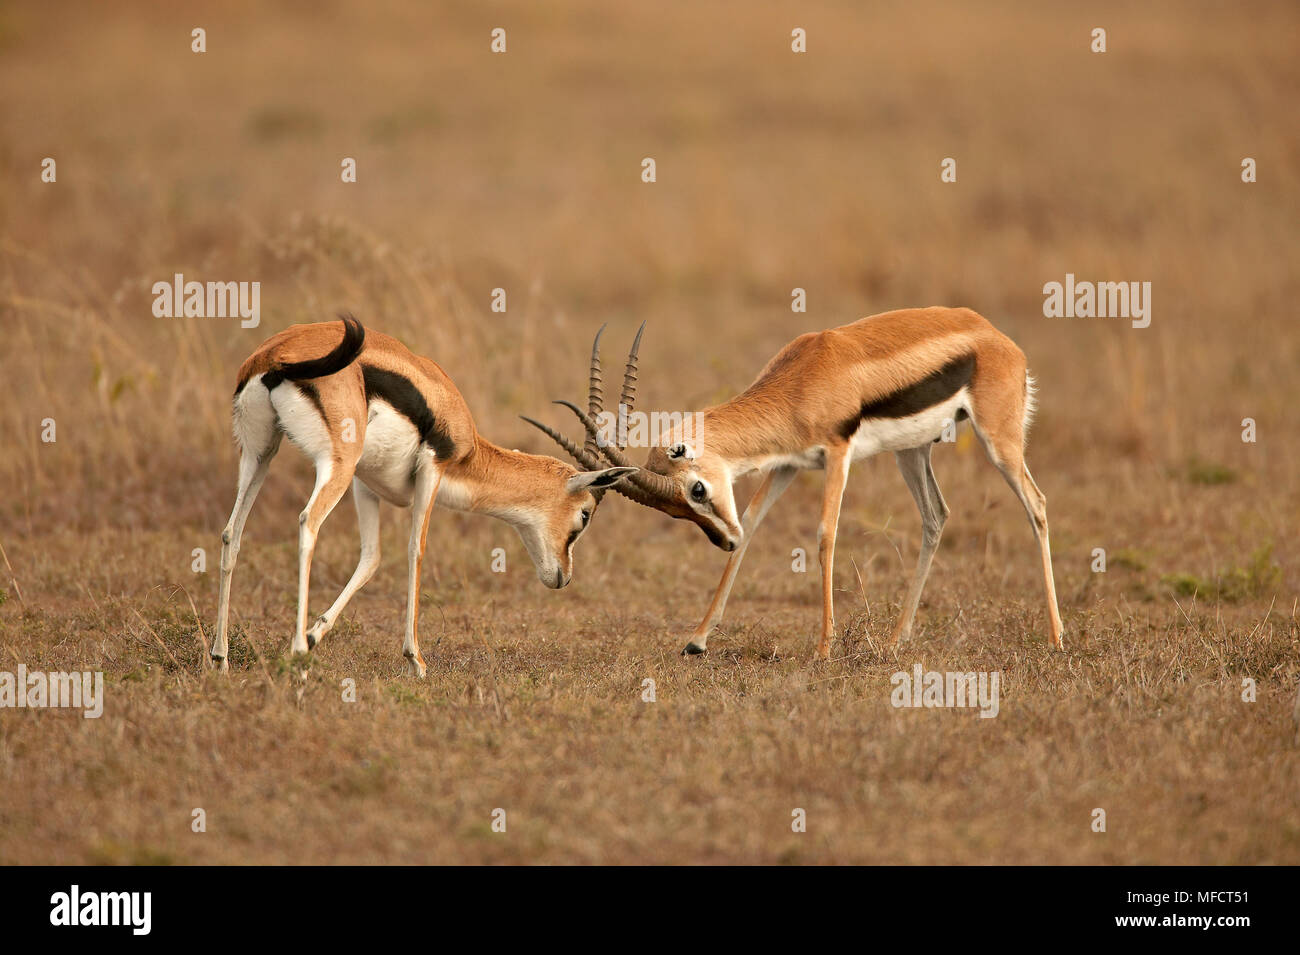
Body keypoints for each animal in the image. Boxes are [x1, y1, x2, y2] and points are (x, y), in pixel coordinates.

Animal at [210, 315, 637, 677]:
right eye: (585, 515)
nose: (563, 577)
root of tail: (274, 357)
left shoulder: (365, 482)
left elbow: (372, 557)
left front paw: (318, 633)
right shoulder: (432, 468)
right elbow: (417, 549)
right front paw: (416, 660)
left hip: (260, 452)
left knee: (232, 532)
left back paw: (220, 658)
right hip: (335, 463)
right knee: (307, 524)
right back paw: (297, 654)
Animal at [528, 307, 1064, 660]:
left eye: (696, 489)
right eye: (673, 510)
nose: (721, 541)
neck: (803, 379)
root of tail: (995, 335)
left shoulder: (837, 453)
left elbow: (826, 536)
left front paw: (824, 649)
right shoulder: (786, 465)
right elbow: (751, 531)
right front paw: (696, 641)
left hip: (999, 440)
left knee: (1037, 504)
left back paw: (1057, 638)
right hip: (912, 450)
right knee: (937, 516)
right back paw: (896, 641)